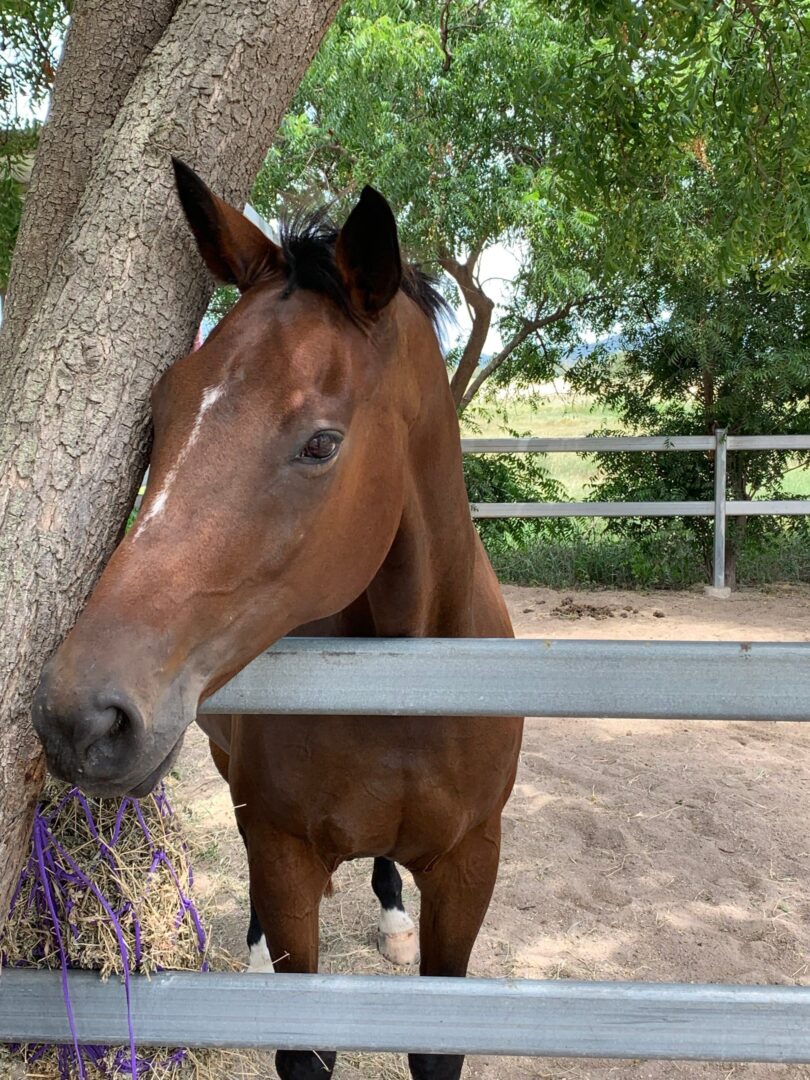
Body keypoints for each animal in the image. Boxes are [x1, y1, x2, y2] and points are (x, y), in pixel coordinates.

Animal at [33, 159, 525, 1080]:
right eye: (161, 413)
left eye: (321, 444)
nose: (78, 716)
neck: (411, 688)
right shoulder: (288, 855)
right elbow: (304, 1051)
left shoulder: (471, 863)